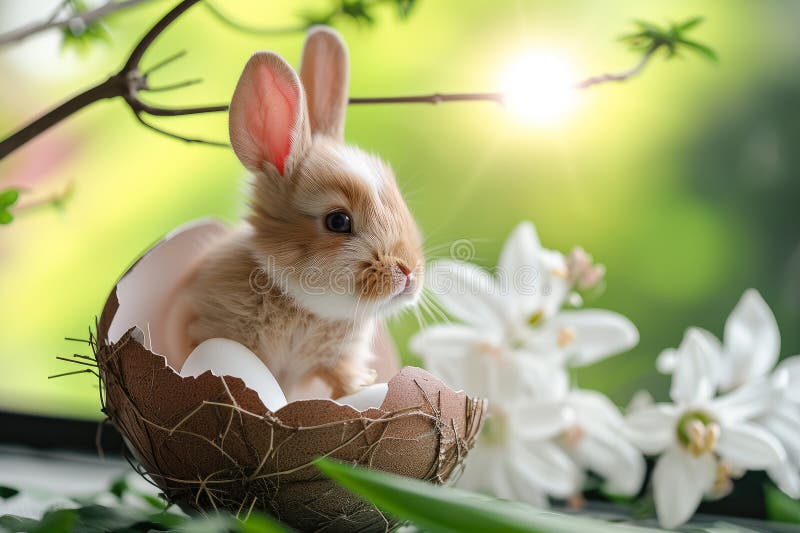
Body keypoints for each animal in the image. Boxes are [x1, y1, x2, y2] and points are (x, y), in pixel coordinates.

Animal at [182, 27, 424, 399]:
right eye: (338, 221)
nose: (409, 271)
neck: (305, 306)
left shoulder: (339, 360)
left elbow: (346, 387)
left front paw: (362, 389)